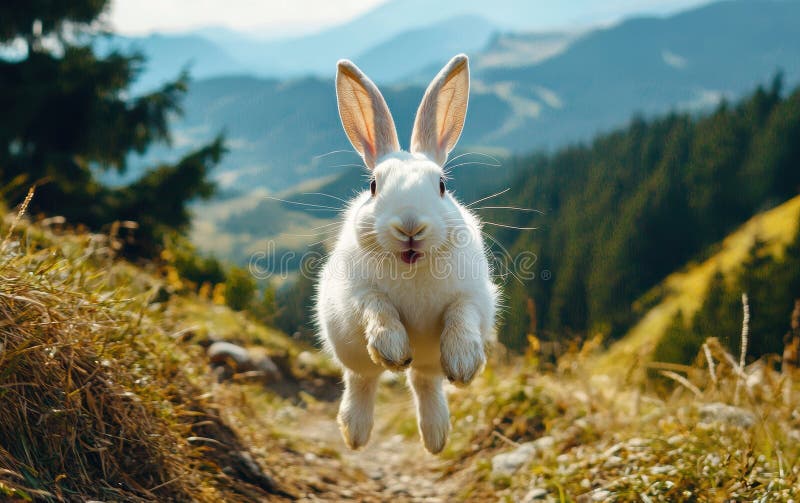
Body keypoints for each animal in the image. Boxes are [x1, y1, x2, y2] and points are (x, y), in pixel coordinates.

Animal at [315, 54, 499, 454]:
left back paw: (436, 437)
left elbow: (460, 316)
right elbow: (379, 308)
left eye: (442, 185)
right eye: (373, 186)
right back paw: (356, 432)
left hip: (427, 365)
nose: (410, 226)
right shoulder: (356, 295)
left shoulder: (473, 296)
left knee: (424, 382)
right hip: (349, 351)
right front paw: (393, 347)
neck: (412, 266)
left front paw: (464, 364)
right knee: (363, 380)